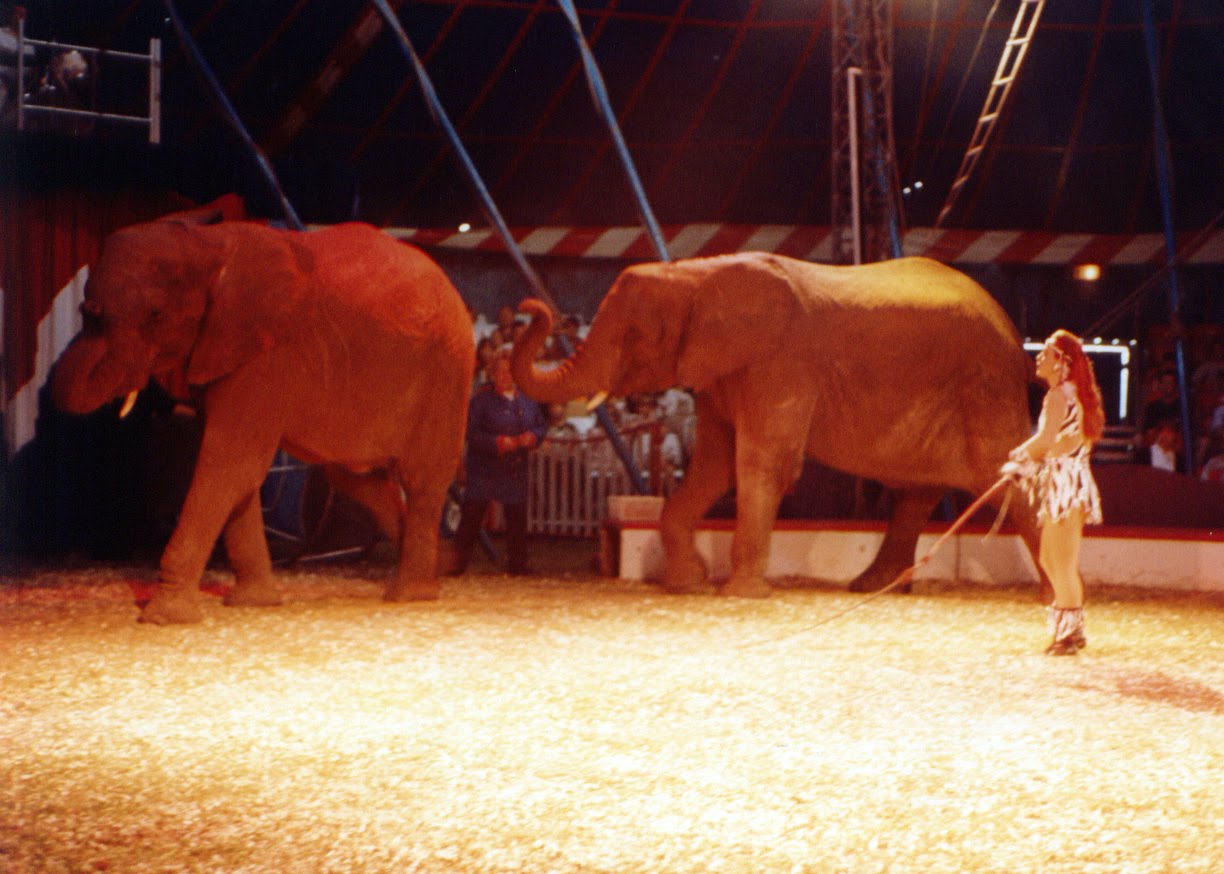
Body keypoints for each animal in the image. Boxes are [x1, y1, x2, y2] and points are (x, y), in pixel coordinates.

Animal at [50, 211, 475, 623]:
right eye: (84, 311)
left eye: (155, 315)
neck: (208, 244)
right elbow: (240, 473)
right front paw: (253, 604)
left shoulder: (266, 354)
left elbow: (229, 465)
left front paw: (164, 618)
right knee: (356, 479)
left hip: (448, 371)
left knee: (422, 480)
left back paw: (409, 595)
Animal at [511, 251, 1046, 598]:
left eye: (636, 333)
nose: (527, 309)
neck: (696, 273)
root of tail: (1016, 338)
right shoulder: (724, 371)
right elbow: (714, 465)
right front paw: (686, 584)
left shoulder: (781, 362)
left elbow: (759, 462)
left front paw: (740, 594)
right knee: (917, 494)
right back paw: (872, 587)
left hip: (985, 384)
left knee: (1008, 480)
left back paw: (1050, 598)